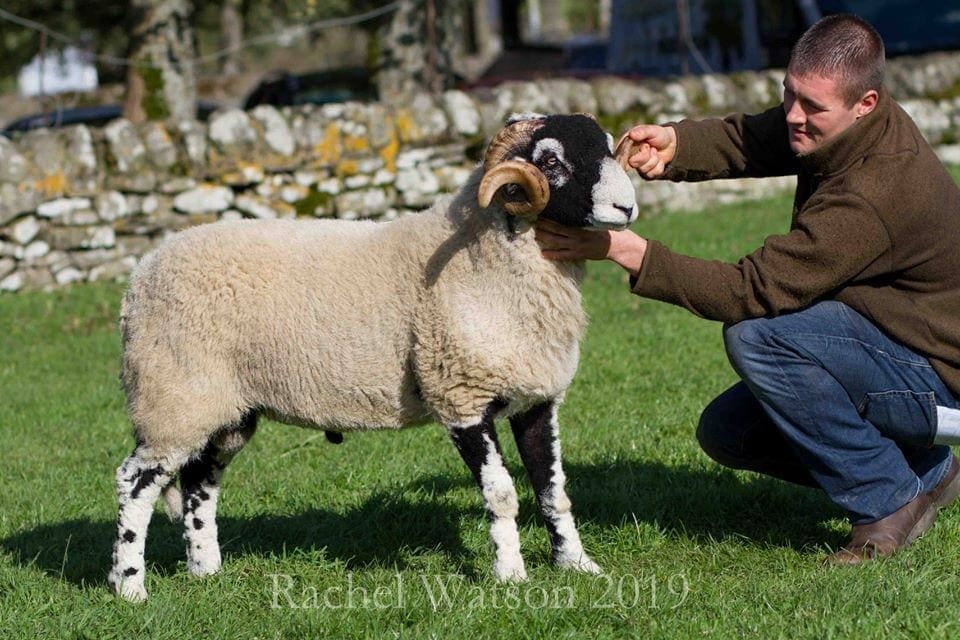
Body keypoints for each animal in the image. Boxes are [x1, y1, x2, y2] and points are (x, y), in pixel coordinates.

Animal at [107, 113, 640, 602]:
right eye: (550, 161)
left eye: (608, 147)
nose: (627, 207)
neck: (484, 257)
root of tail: (141, 273)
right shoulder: (460, 397)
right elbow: (502, 495)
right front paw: (510, 575)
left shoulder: (537, 398)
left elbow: (553, 491)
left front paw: (577, 565)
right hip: (174, 395)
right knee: (135, 482)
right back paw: (129, 585)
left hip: (226, 410)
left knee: (199, 481)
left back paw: (206, 571)